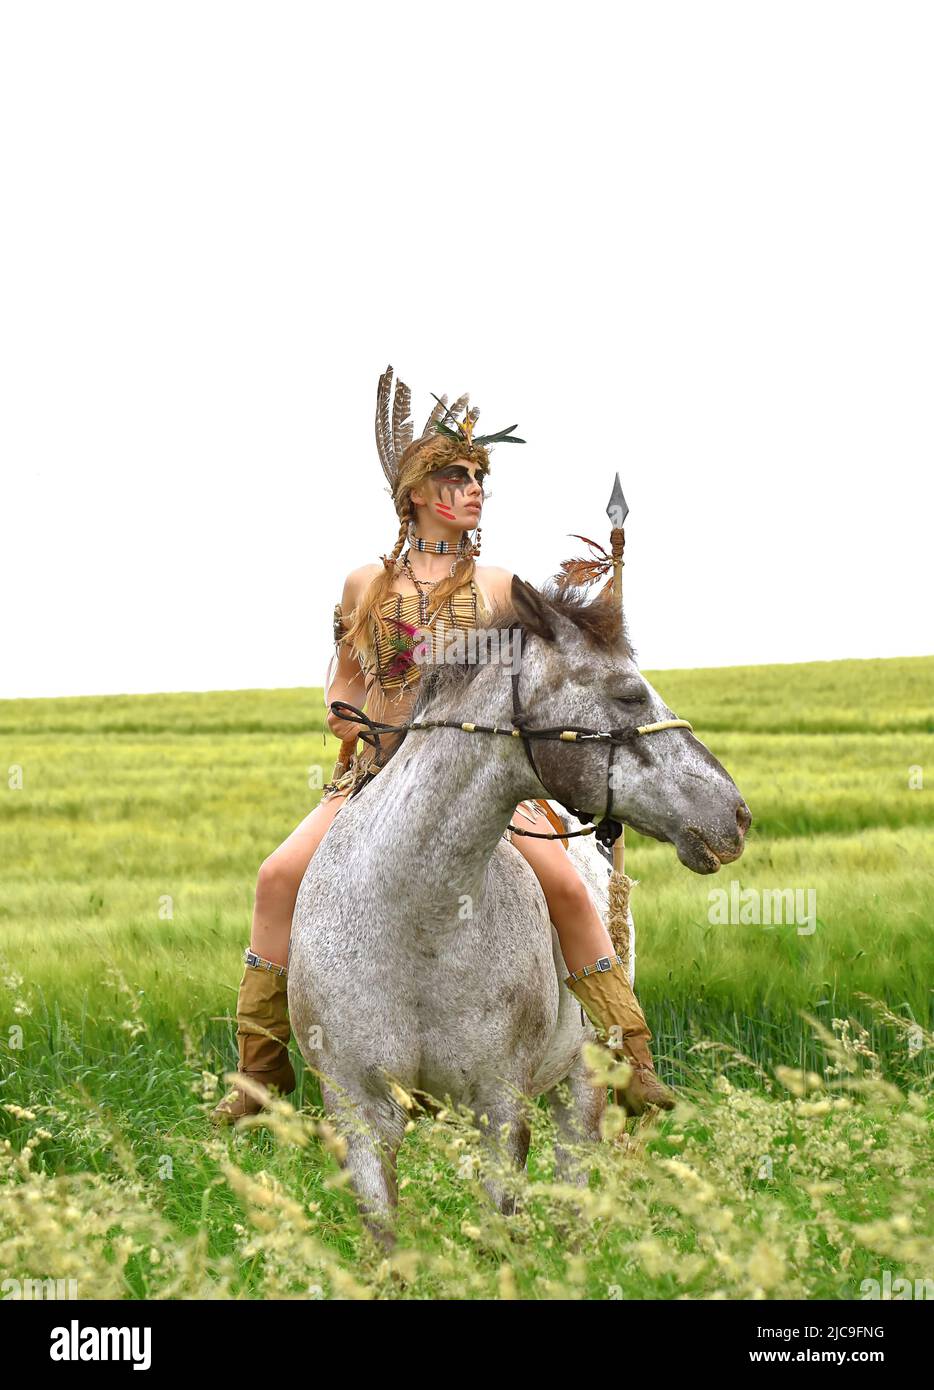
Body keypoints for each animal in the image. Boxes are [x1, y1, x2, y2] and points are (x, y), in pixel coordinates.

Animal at [289, 576, 749, 1239]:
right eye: (629, 693)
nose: (735, 816)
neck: (417, 923)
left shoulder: (499, 1105)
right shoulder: (360, 1111)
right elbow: (385, 1238)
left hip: (582, 1077)